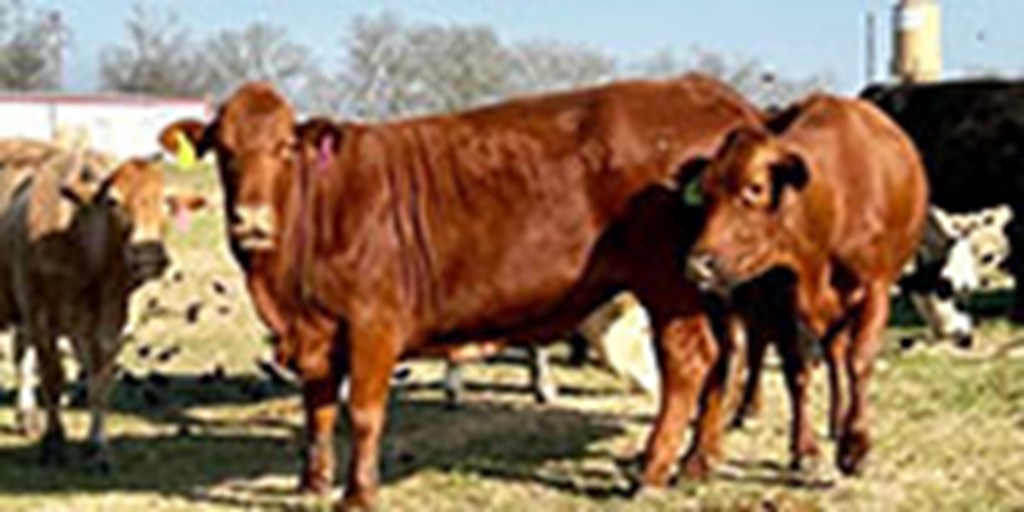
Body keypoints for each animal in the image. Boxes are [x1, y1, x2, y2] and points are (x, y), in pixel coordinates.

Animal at [1, 139, 204, 469]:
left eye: (167, 203)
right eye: (113, 201)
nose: (148, 254)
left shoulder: (109, 327)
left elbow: (100, 381)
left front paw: (98, 446)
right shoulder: (41, 319)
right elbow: (54, 380)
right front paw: (54, 442)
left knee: (22, 354)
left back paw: (26, 416)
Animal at [159, 75, 763, 509]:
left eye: (286, 147)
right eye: (223, 150)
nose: (251, 221)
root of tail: (706, 91)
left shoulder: (374, 324)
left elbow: (364, 412)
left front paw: (357, 494)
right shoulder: (317, 333)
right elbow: (320, 410)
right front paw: (312, 484)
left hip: (668, 284)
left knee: (689, 362)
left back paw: (652, 470)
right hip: (708, 285)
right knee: (722, 361)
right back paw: (694, 464)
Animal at [681, 95, 928, 478]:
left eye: (755, 187)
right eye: (705, 192)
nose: (698, 264)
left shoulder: (875, 289)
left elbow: (859, 361)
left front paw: (856, 445)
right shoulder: (780, 296)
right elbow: (796, 370)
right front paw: (805, 449)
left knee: (837, 354)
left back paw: (838, 421)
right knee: (761, 347)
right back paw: (748, 410)